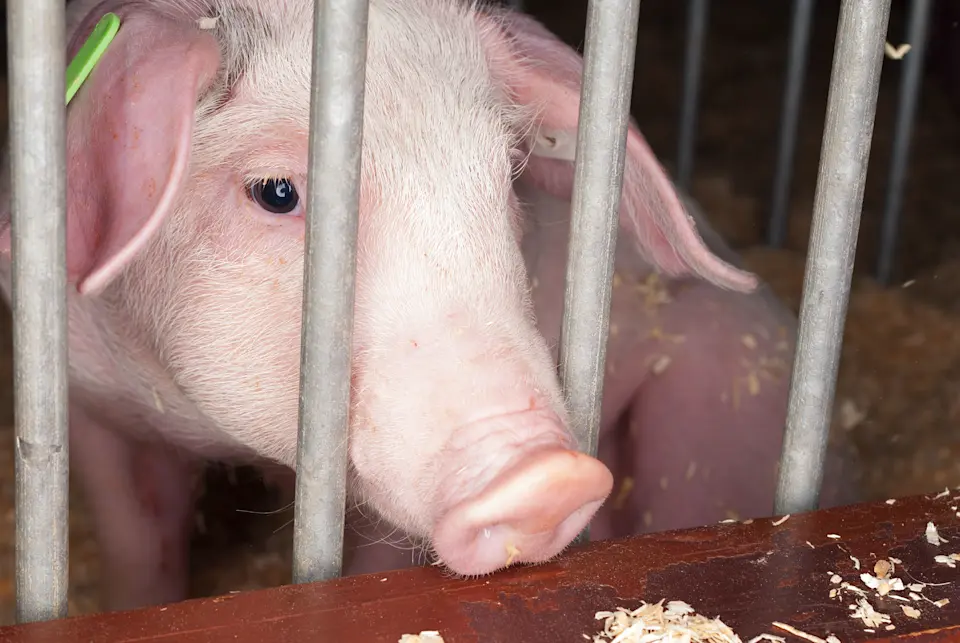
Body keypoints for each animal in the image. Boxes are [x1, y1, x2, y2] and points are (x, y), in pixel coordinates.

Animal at [0, 0, 859, 612]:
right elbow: (141, 543)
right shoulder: (94, 406)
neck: (201, 425)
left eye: (507, 172)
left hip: (714, 417)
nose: (547, 475)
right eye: (276, 192)